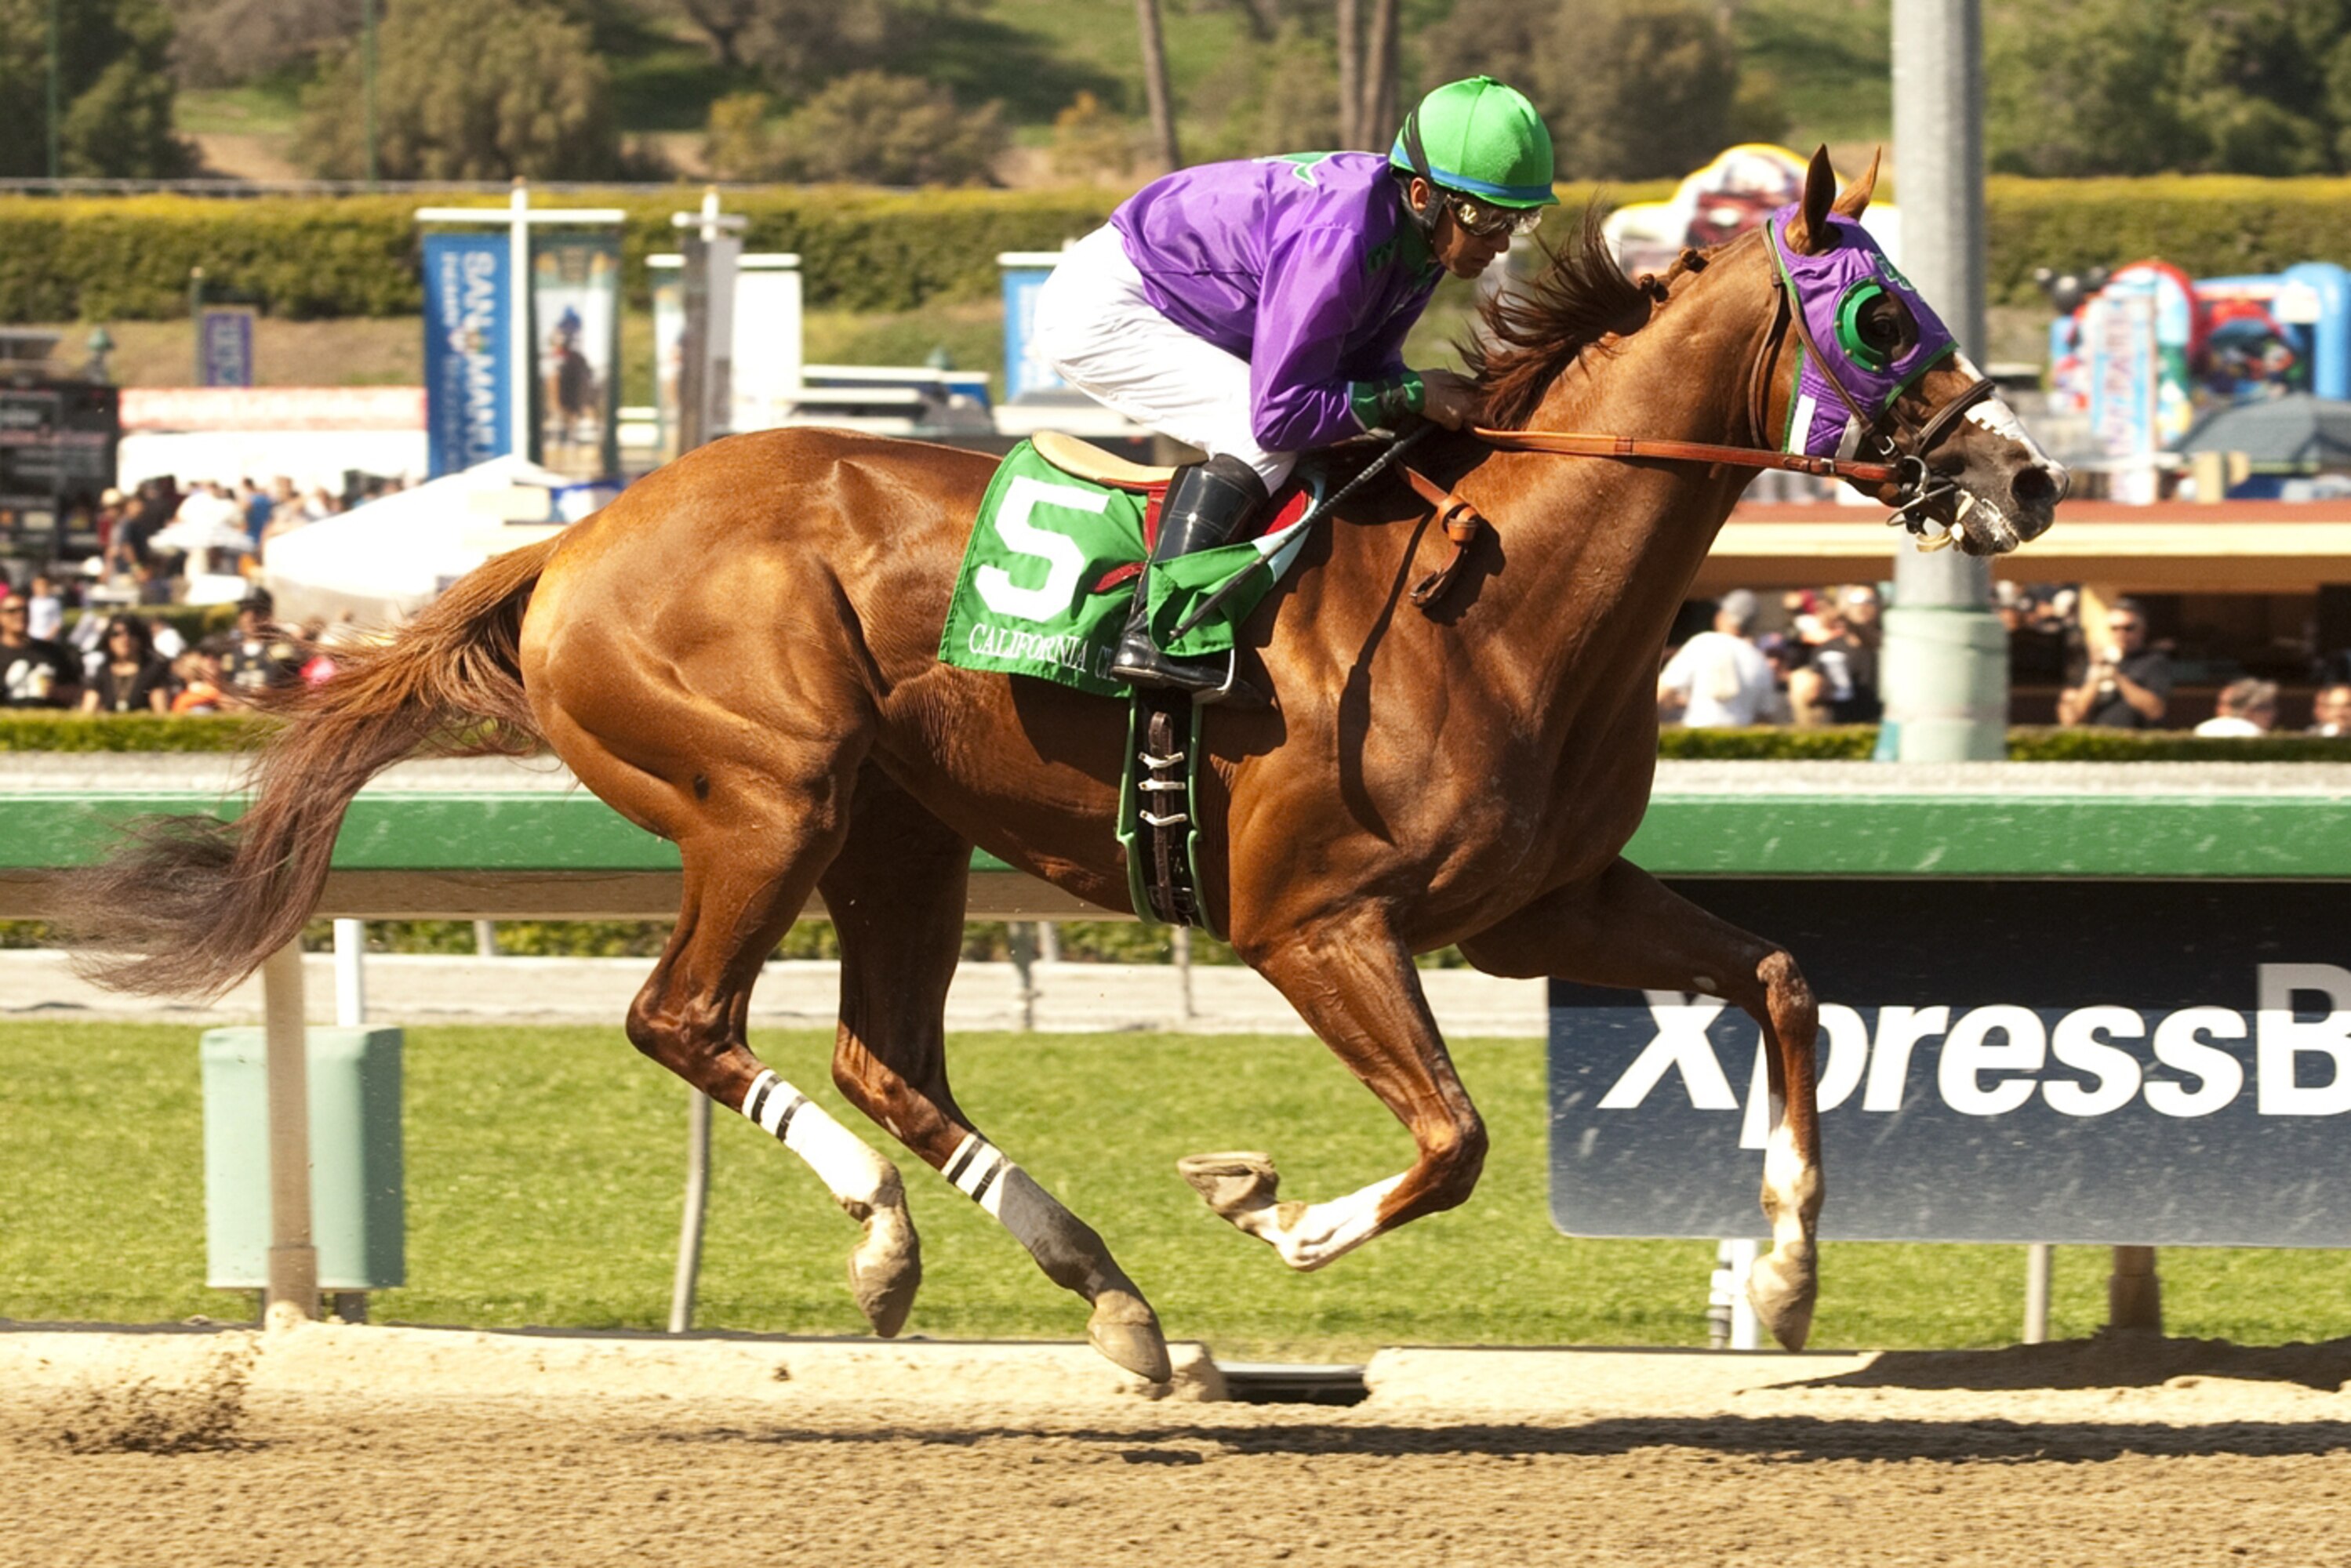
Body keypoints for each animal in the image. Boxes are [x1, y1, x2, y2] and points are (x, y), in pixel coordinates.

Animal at [61, 150, 2063, 1382]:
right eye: (1880, 315)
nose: (2027, 478)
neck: (1500, 594)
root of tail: (577, 537)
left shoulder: (1539, 903)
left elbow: (1782, 977)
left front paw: (1789, 1267)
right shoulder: (1310, 920)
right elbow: (1453, 1137)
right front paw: (1282, 1215)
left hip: (901, 833)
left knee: (883, 1052)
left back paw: (1108, 1295)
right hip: (770, 794)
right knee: (686, 1017)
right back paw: (888, 1240)